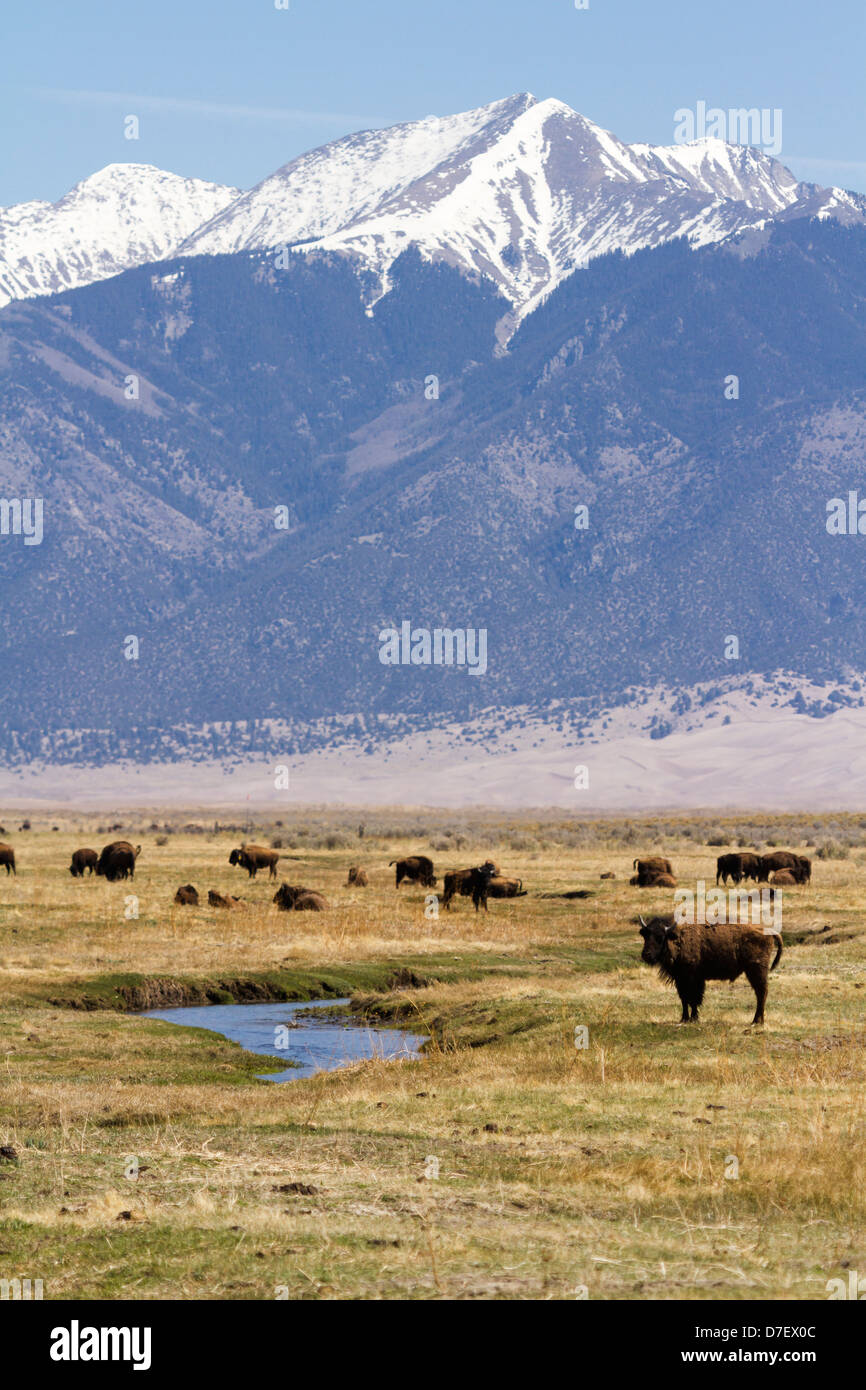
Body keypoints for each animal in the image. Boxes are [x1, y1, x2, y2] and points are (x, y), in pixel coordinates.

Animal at [639, 914, 783, 1025]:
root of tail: (769, 931)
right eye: (645, 935)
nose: (646, 954)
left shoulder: (693, 979)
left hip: (756, 970)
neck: (677, 937)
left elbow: (694, 998)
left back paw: (756, 1021)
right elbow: (684, 998)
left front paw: (694, 1018)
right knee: (761, 993)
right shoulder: (680, 979)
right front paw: (684, 1018)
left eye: (660, 937)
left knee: (761, 992)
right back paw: (758, 1021)